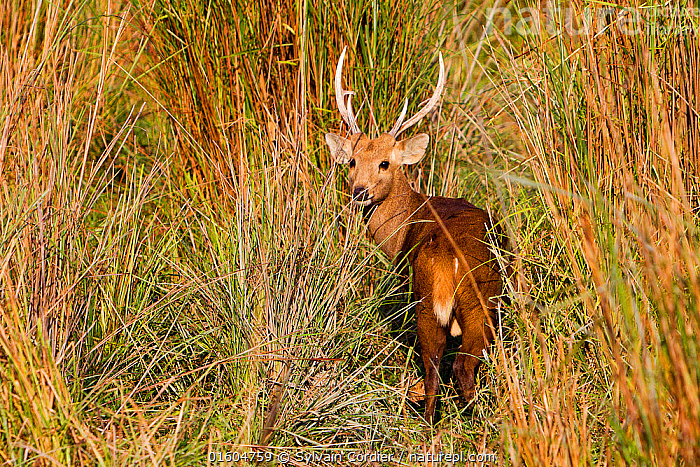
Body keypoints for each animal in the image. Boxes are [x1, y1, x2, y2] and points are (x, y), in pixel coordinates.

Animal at [325, 48, 505, 424]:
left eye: (385, 163)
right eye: (351, 161)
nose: (360, 192)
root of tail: (448, 260)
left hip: (436, 300)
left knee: (440, 366)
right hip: (472, 301)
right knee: (456, 366)